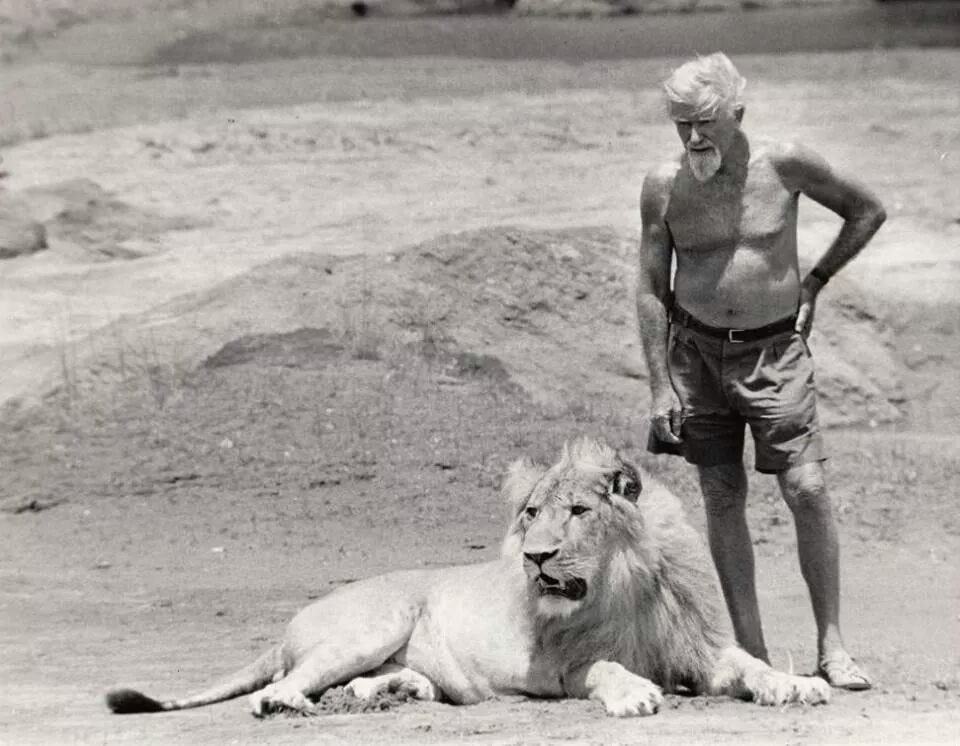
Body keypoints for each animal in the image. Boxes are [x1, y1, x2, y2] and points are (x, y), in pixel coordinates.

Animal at [106, 437, 829, 718]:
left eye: (578, 512)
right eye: (531, 513)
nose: (536, 557)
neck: (617, 584)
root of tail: (290, 623)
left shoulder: (696, 650)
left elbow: (749, 665)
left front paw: (796, 684)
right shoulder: (560, 667)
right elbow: (607, 667)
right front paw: (633, 695)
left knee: (367, 681)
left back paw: (391, 694)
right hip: (374, 623)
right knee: (284, 684)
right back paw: (293, 705)